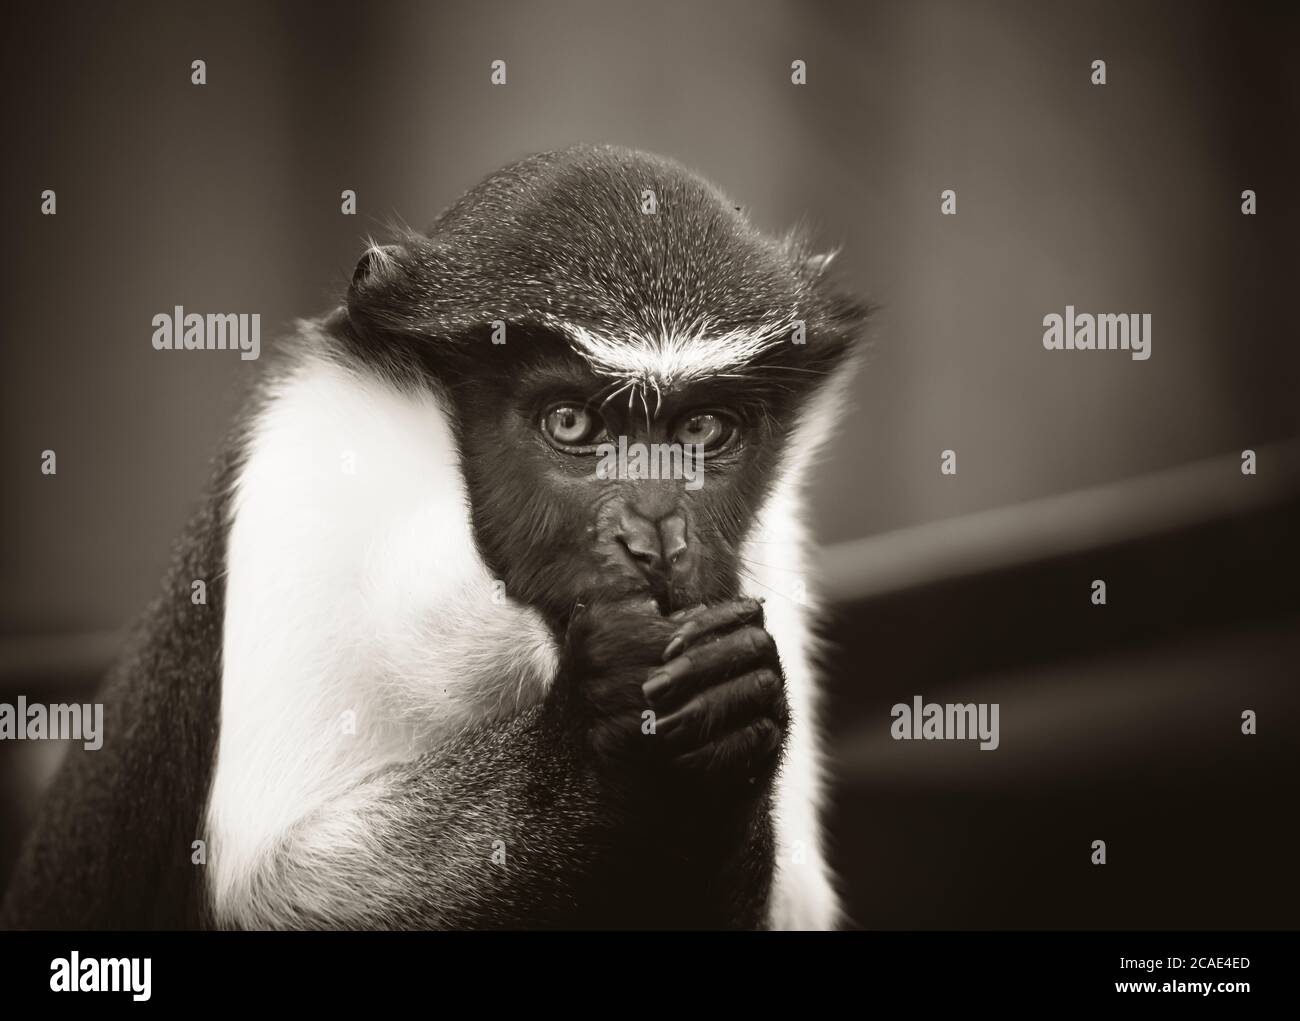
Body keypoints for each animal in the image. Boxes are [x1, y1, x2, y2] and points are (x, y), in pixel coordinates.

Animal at [1, 144, 869, 930]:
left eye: (701, 430)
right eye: (571, 422)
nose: (654, 536)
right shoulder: (311, 462)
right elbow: (274, 885)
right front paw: (609, 734)